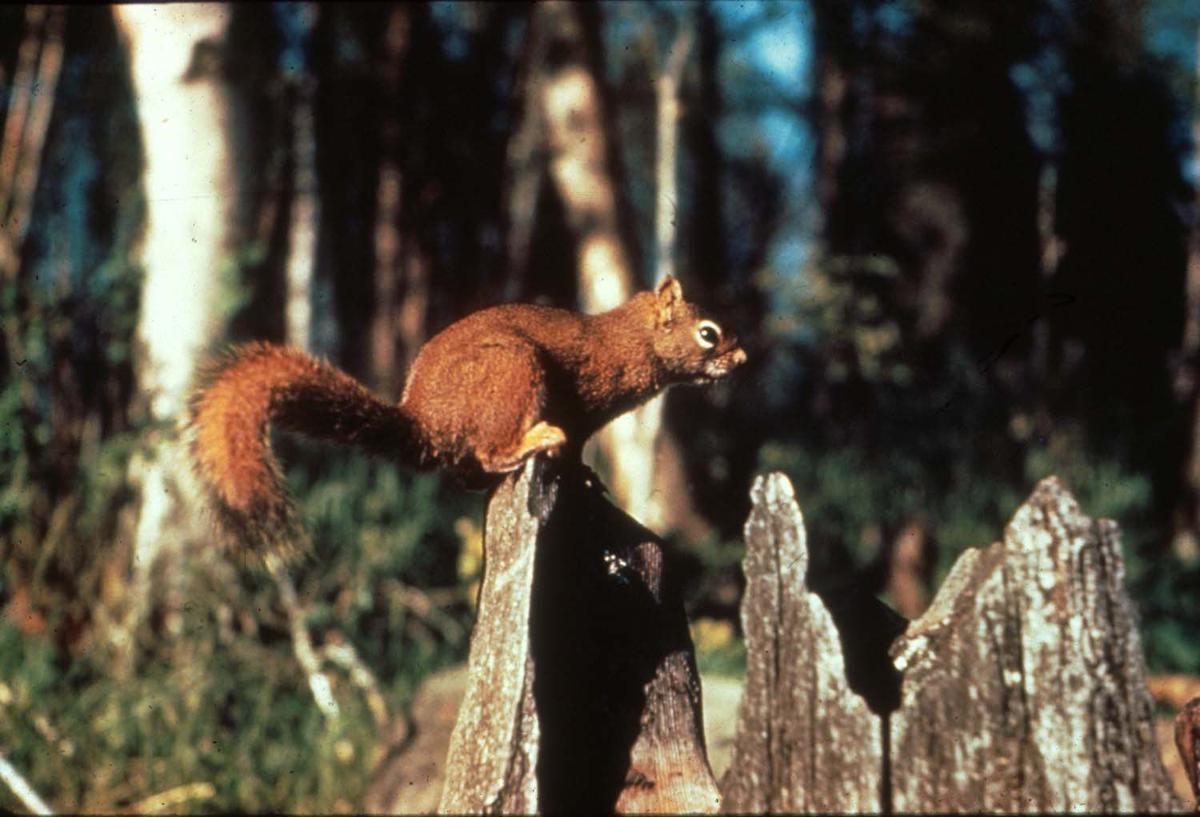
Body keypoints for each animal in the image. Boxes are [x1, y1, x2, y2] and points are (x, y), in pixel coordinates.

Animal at [188, 275, 747, 560]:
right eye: (708, 334)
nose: (742, 361)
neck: (630, 341)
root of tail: (426, 424)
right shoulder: (582, 406)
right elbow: (575, 444)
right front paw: (579, 471)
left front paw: (586, 475)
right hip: (513, 370)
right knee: (490, 451)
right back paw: (532, 441)